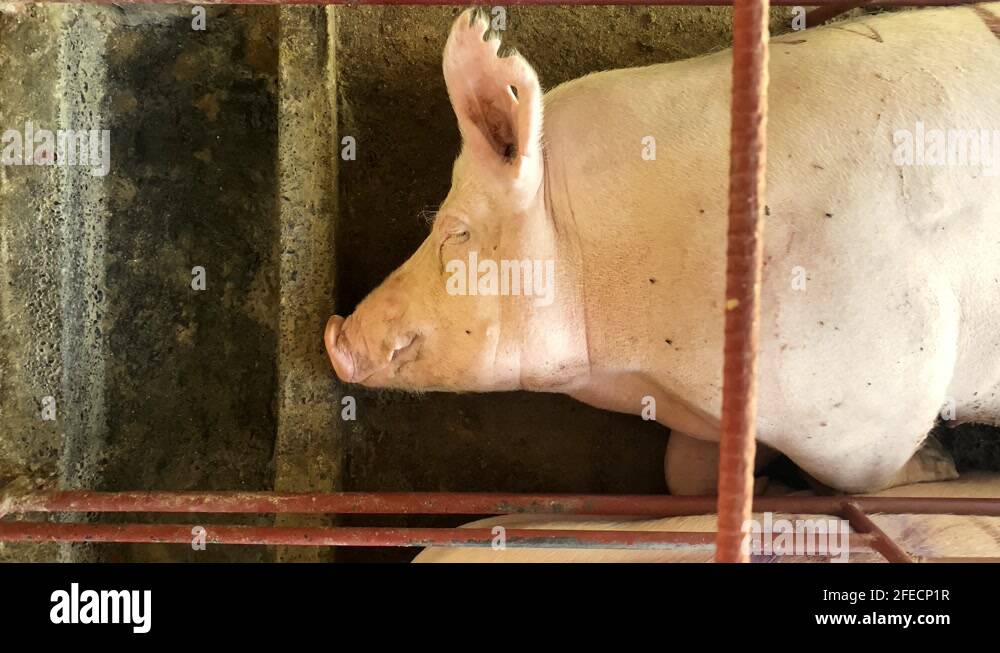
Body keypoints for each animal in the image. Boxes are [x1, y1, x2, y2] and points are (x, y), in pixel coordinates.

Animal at [325, 6, 1000, 495]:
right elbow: (682, 476)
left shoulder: (874, 395)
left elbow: (861, 479)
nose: (335, 335)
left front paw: (941, 471)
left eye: (455, 231)